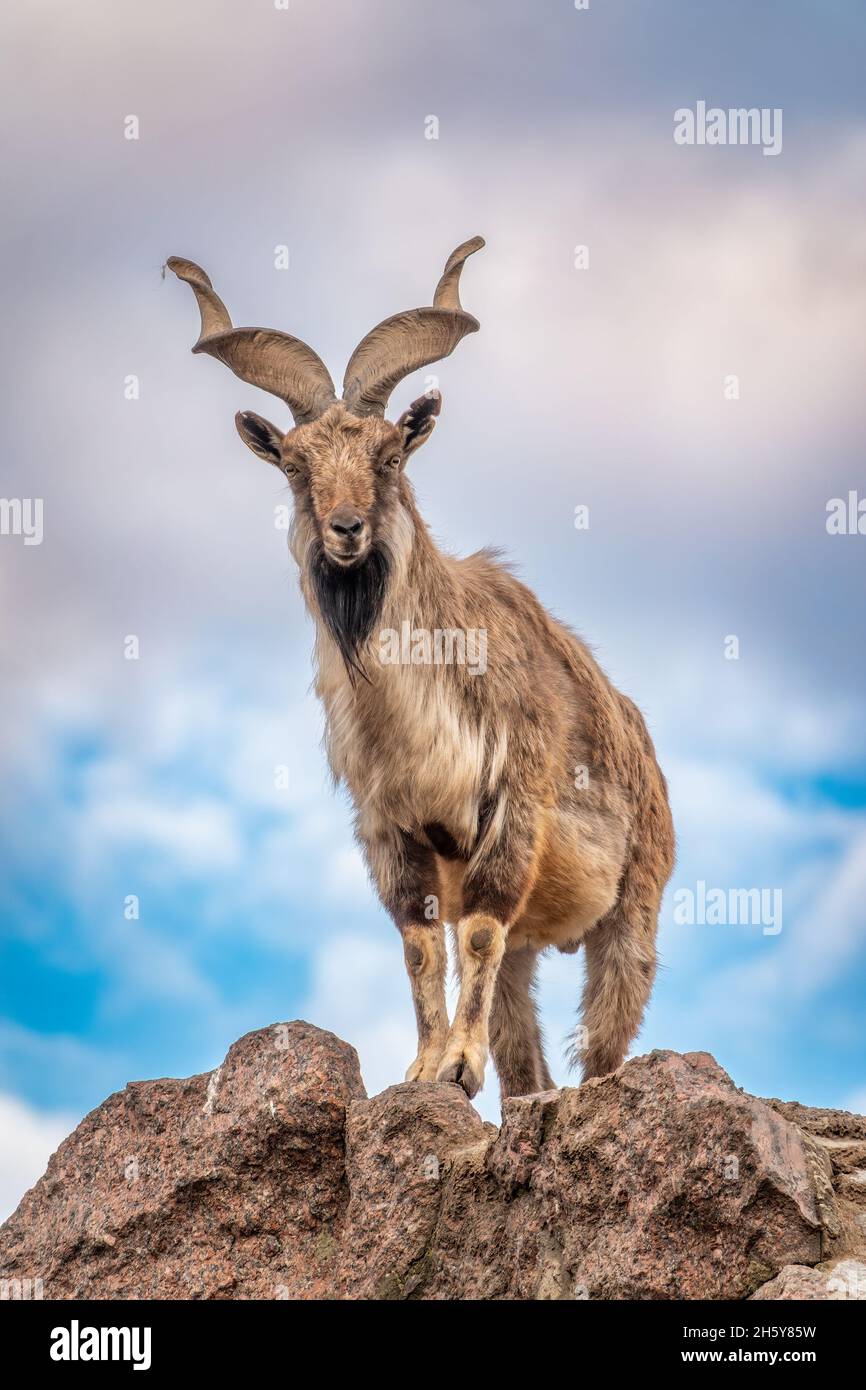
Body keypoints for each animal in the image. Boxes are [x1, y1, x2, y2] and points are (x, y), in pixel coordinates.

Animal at [168, 240, 675, 1100]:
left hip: (632, 908)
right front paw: (425, 1067)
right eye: (294, 465)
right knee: (525, 1048)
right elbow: (420, 944)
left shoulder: (512, 808)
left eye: (389, 452)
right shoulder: (390, 827)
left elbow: (476, 934)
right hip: (539, 940)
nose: (346, 530)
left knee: (605, 1034)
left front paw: (458, 1068)